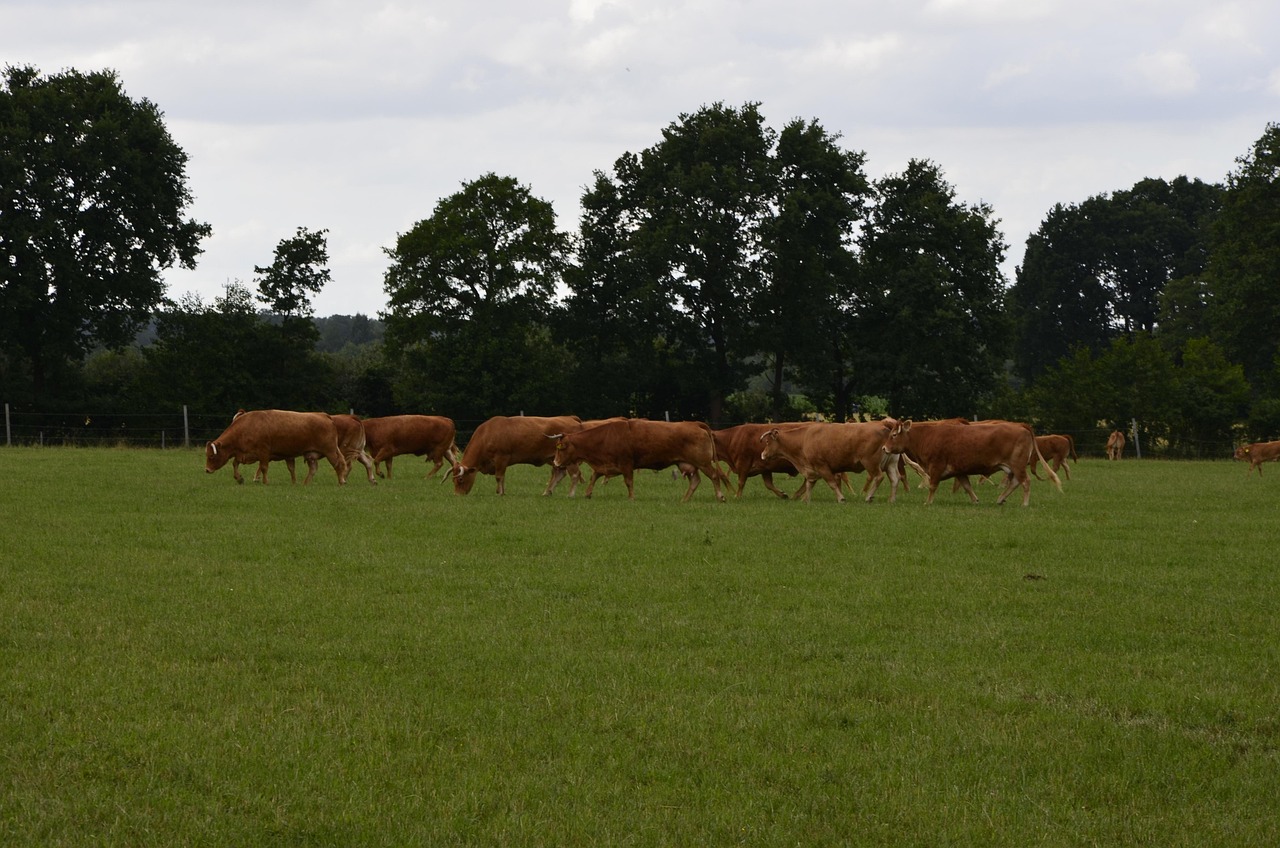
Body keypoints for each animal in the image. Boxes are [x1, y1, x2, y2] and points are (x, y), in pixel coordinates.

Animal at [205, 409, 349, 485]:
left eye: (211, 456)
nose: (207, 470)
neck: (248, 426)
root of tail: (325, 415)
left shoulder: (263, 453)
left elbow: (263, 467)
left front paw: (265, 482)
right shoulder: (244, 454)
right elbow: (235, 463)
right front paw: (239, 478)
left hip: (330, 451)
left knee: (338, 464)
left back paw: (341, 481)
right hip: (311, 455)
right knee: (313, 469)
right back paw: (305, 483)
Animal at [452, 415, 588, 495]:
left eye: (460, 479)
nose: (458, 495)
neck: (487, 434)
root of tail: (570, 418)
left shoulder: (501, 458)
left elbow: (499, 477)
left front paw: (500, 493)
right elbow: (502, 477)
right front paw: (501, 491)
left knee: (575, 474)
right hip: (556, 459)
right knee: (559, 473)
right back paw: (547, 492)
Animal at [550, 418, 726, 502]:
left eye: (561, 447)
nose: (556, 463)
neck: (605, 437)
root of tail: (695, 424)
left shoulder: (626, 464)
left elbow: (628, 482)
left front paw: (631, 498)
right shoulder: (606, 465)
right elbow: (594, 477)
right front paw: (587, 493)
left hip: (703, 463)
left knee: (714, 476)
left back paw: (720, 496)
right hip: (689, 465)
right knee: (695, 481)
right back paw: (684, 500)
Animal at [758, 419, 902, 503]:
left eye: (767, 441)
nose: (762, 455)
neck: (804, 438)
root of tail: (883, 423)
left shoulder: (822, 467)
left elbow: (832, 483)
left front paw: (841, 498)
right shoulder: (811, 470)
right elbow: (809, 484)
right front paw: (806, 500)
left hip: (871, 463)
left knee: (879, 477)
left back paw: (869, 497)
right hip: (890, 464)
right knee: (895, 480)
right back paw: (892, 499)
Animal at [881, 420, 1061, 506]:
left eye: (894, 435)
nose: (884, 448)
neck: (926, 436)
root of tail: (1021, 425)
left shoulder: (936, 467)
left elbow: (932, 486)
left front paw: (928, 502)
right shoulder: (959, 471)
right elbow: (967, 486)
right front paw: (975, 500)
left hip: (1017, 465)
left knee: (1025, 482)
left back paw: (1024, 503)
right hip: (1013, 467)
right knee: (1015, 482)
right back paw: (1000, 499)